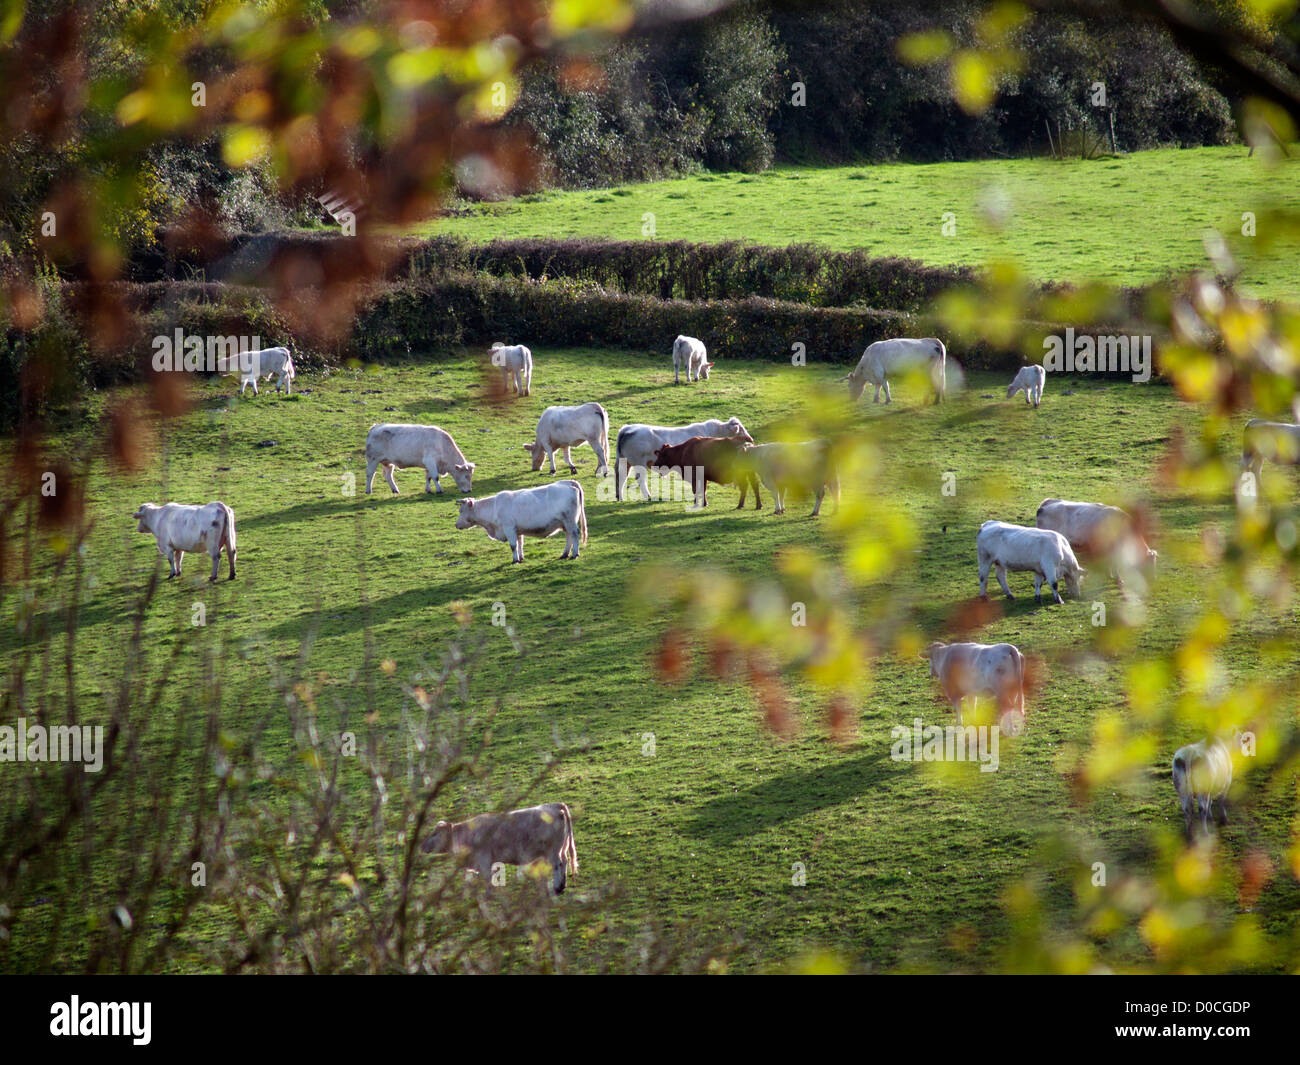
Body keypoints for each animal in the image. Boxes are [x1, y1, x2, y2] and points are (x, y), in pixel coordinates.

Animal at [421, 803, 578, 894]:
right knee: (564, 861)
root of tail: (554, 805)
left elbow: (488, 880)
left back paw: (557, 887)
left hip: (553, 850)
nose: (422, 846)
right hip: (562, 847)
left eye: (434, 833)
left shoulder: (484, 861)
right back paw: (562, 885)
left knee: (558, 864)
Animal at [455, 480, 587, 562]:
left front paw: (515, 560)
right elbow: (520, 544)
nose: (456, 524)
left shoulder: (508, 528)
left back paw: (574, 554)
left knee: (574, 534)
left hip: (570, 520)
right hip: (565, 523)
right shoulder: (517, 530)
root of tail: (567, 482)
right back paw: (564, 554)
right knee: (569, 536)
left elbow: (513, 546)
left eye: (461, 510)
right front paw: (521, 558)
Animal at [615, 417, 752, 501]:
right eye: (741, 430)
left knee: (621, 477)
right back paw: (648, 496)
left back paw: (620, 497)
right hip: (639, 464)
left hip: (625, 463)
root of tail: (627, 428)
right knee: (640, 479)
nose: (751, 440)